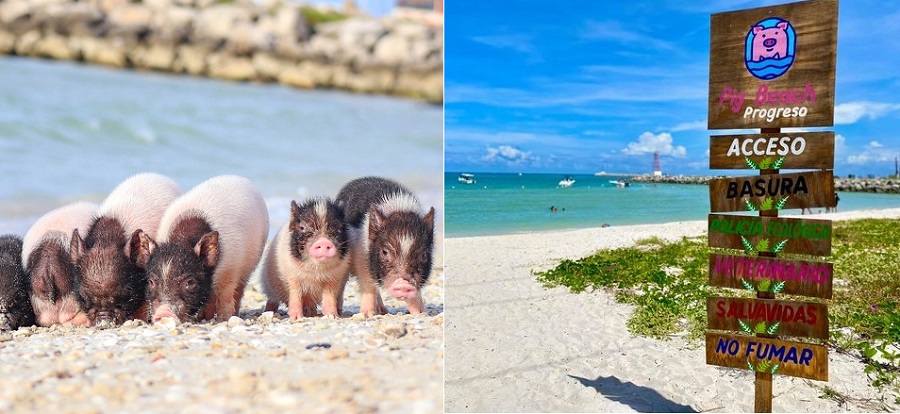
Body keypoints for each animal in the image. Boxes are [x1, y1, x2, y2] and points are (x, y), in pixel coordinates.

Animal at [133, 175, 269, 323]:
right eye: (150, 281)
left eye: (190, 281)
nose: (164, 313)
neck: (182, 241)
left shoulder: (231, 270)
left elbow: (225, 296)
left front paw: (224, 318)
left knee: (238, 291)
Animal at [335, 176, 435, 316]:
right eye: (384, 252)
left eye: (423, 255)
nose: (403, 283)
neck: (399, 210)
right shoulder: (360, 255)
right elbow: (367, 283)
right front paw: (368, 314)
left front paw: (420, 312)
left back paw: (383, 310)